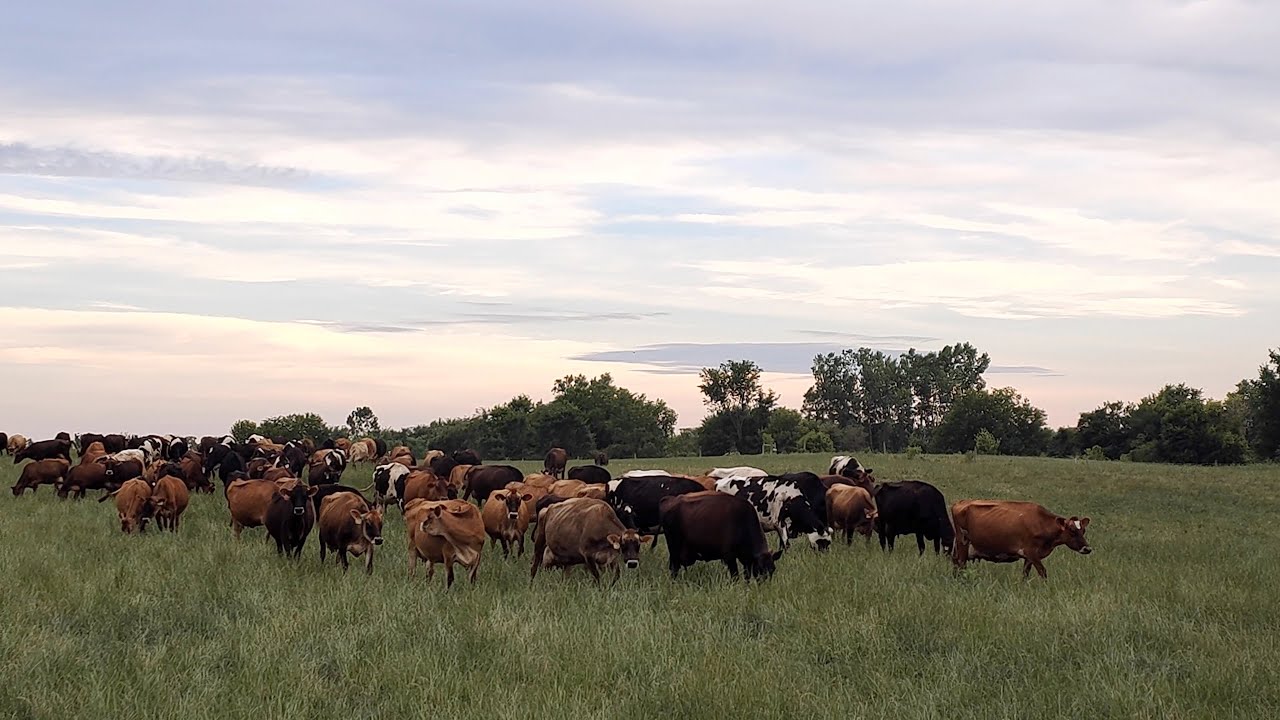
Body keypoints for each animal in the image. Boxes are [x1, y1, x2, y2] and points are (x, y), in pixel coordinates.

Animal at [951, 500, 1093, 579]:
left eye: (1083, 531)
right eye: (1072, 531)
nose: (1087, 548)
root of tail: (959, 503)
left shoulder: (1029, 557)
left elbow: (1025, 574)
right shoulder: (1031, 552)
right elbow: (1043, 571)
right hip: (963, 542)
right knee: (961, 565)